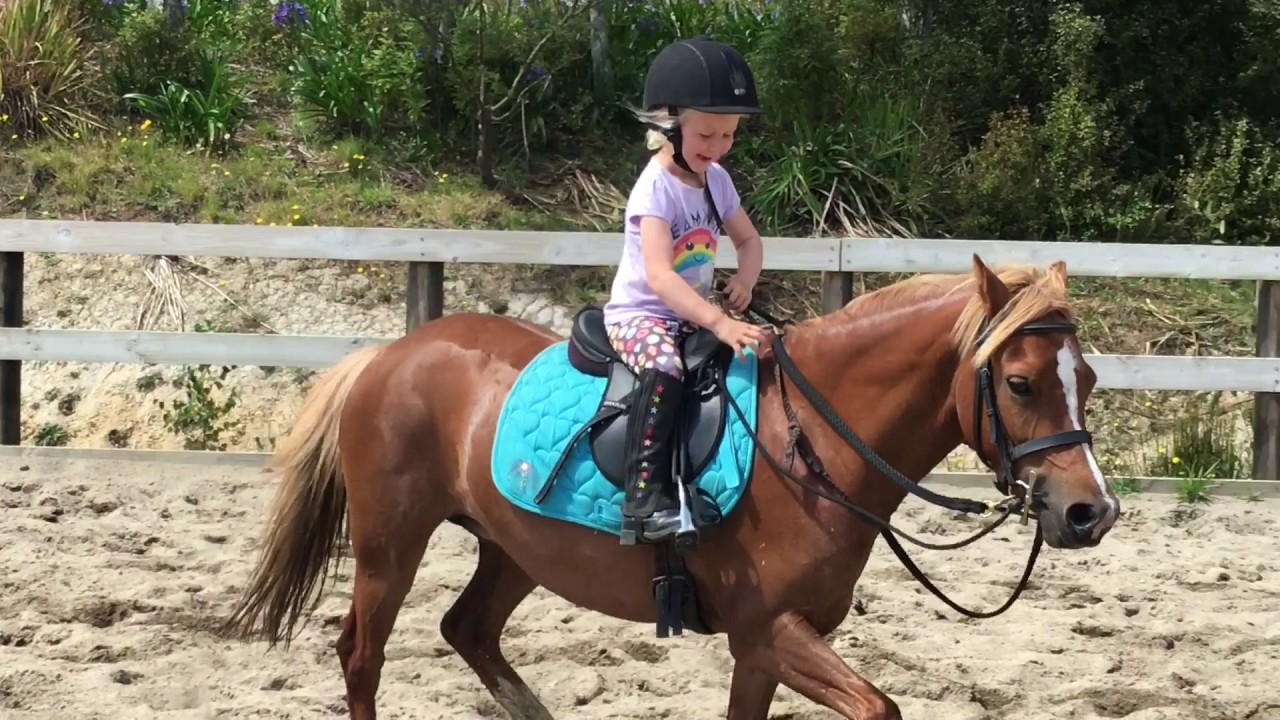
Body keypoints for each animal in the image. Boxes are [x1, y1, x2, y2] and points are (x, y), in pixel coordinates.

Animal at [219, 254, 1121, 720]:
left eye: (1087, 378)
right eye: (1019, 383)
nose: (1090, 512)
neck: (812, 443)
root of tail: (392, 352)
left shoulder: (763, 648)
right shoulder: (769, 630)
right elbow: (879, 708)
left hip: (515, 550)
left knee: (467, 629)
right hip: (389, 546)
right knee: (362, 654)